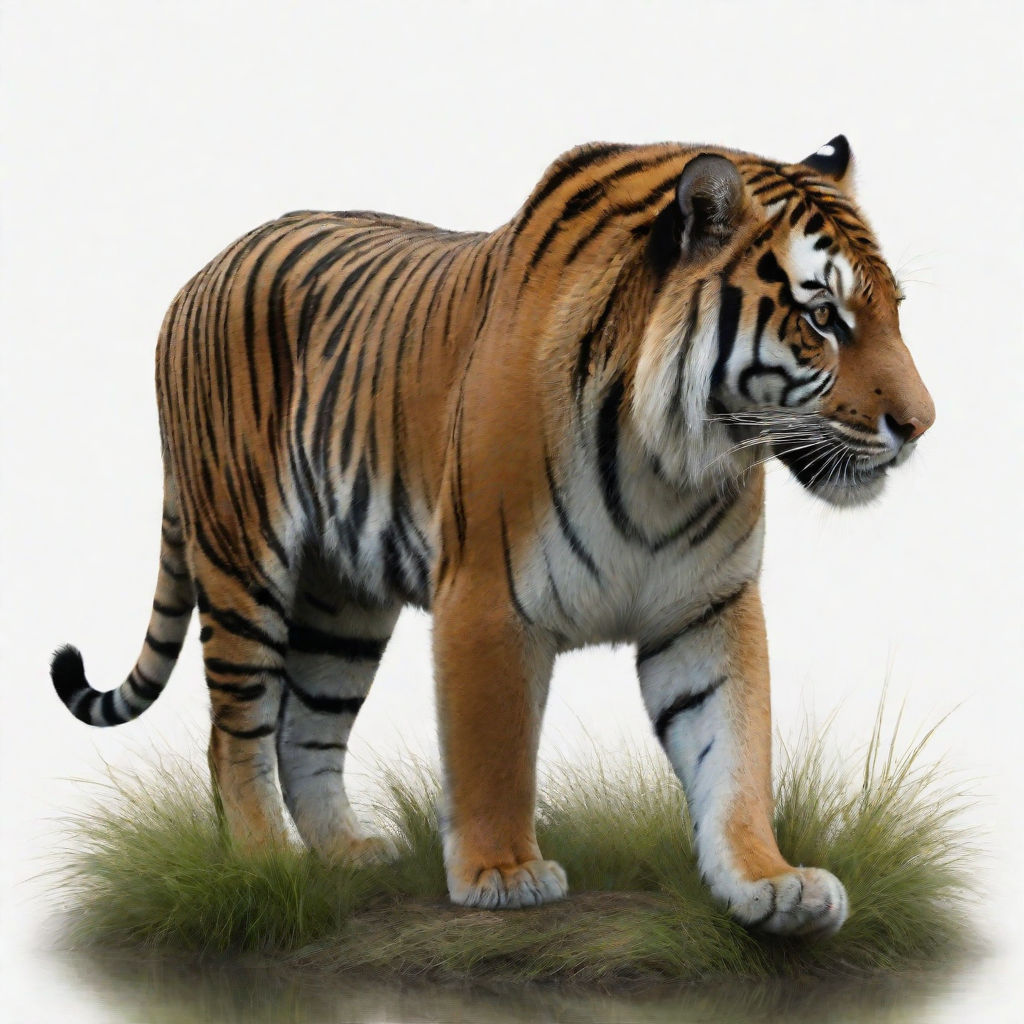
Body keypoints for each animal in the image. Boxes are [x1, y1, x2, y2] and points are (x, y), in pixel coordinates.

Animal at [51, 135, 933, 937]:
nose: (921, 425)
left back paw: (347, 855)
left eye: (893, 311)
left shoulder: (708, 610)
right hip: (243, 559)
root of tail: (201, 272)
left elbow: (735, 752)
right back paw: (269, 863)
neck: (672, 463)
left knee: (307, 731)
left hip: (342, 604)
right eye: (823, 318)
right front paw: (503, 875)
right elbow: (493, 752)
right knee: (234, 733)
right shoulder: (487, 599)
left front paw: (771, 883)